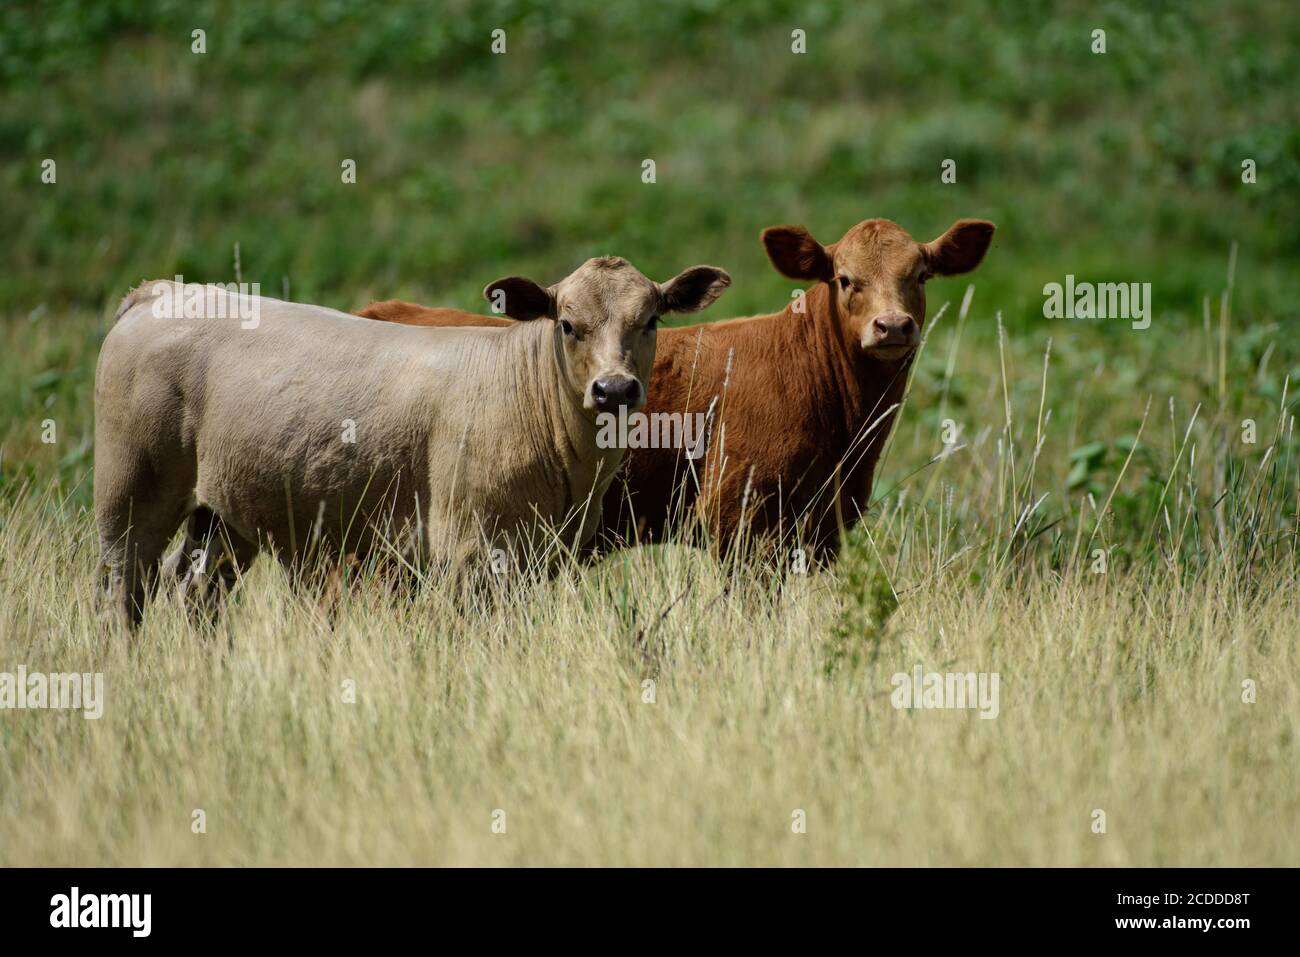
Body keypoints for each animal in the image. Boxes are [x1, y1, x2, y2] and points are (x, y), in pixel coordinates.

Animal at [94, 257, 730, 626]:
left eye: (651, 320)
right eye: (568, 325)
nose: (614, 387)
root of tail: (158, 294)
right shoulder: (471, 548)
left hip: (225, 514)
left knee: (194, 591)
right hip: (131, 493)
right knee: (121, 591)